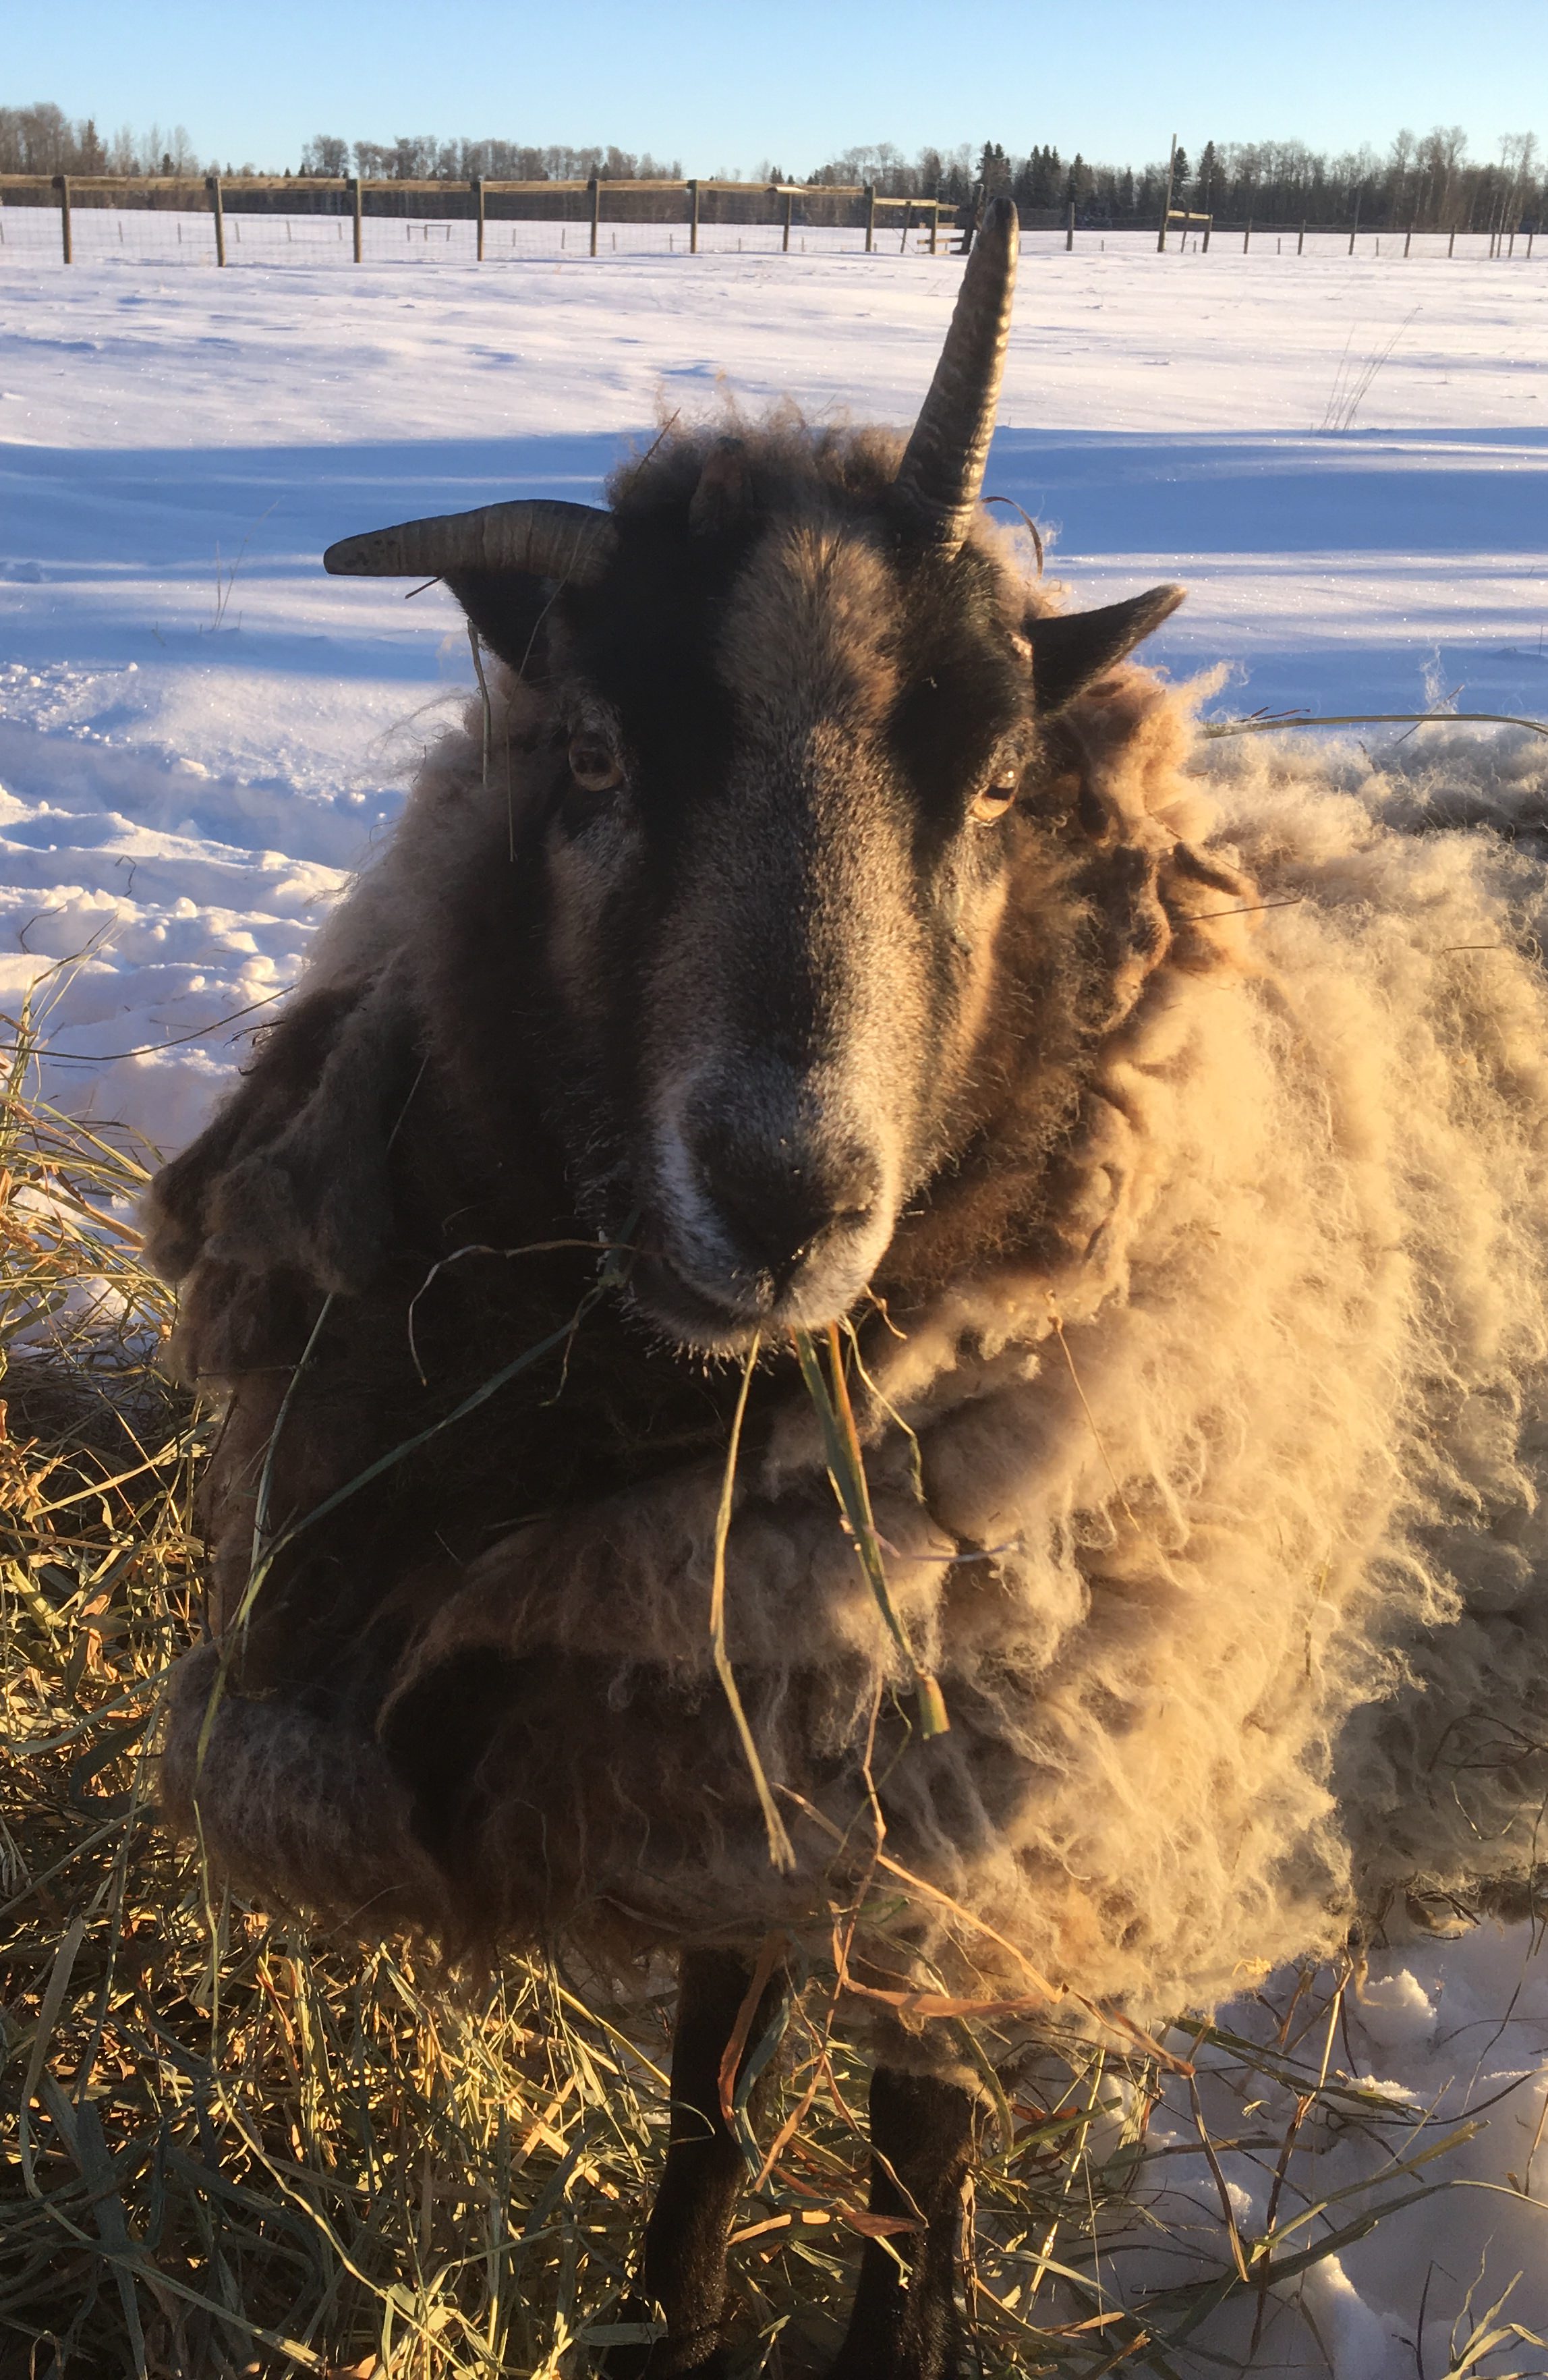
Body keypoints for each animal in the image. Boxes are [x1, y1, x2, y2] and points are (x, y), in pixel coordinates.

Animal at [151, 196, 1548, 2379]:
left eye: (992, 787)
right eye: (589, 754)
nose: (784, 1193)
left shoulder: (967, 1823)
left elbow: (915, 2172)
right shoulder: (751, 1749)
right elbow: (711, 2097)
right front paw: (662, 2315)